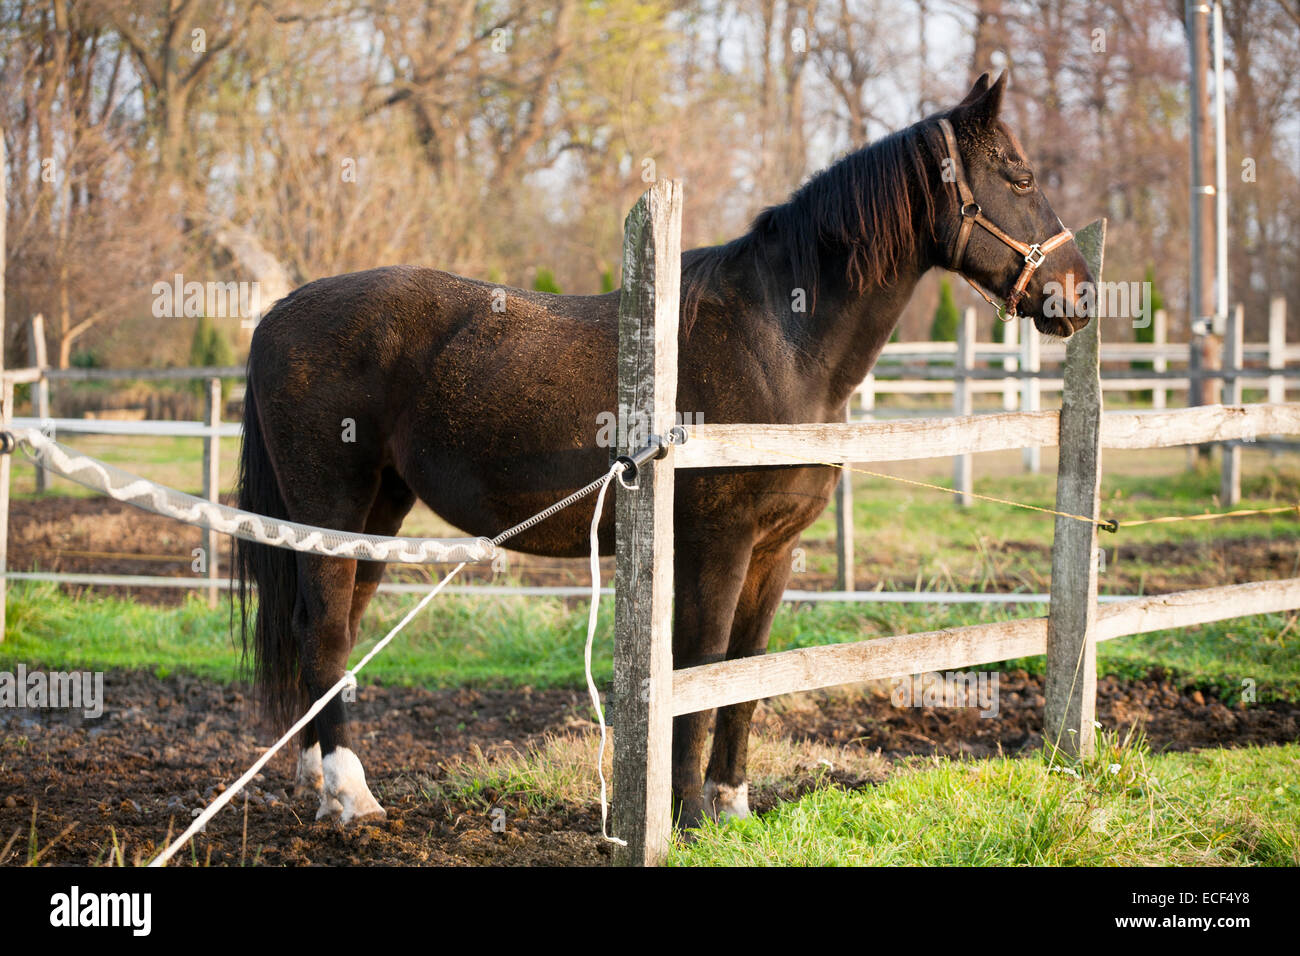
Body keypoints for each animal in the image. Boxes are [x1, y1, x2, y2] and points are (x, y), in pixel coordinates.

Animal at [235, 71, 1092, 828]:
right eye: (1019, 175)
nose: (1081, 294)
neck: (779, 340)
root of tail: (278, 311)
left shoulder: (774, 552)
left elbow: (745, 674)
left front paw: (730, 805)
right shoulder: (719, 544)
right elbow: (702, 668)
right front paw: (684, 814)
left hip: (378, 513)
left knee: (330, 633)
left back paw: (320, 782)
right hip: (333, 505)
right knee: (326, 634)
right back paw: (351, 797)